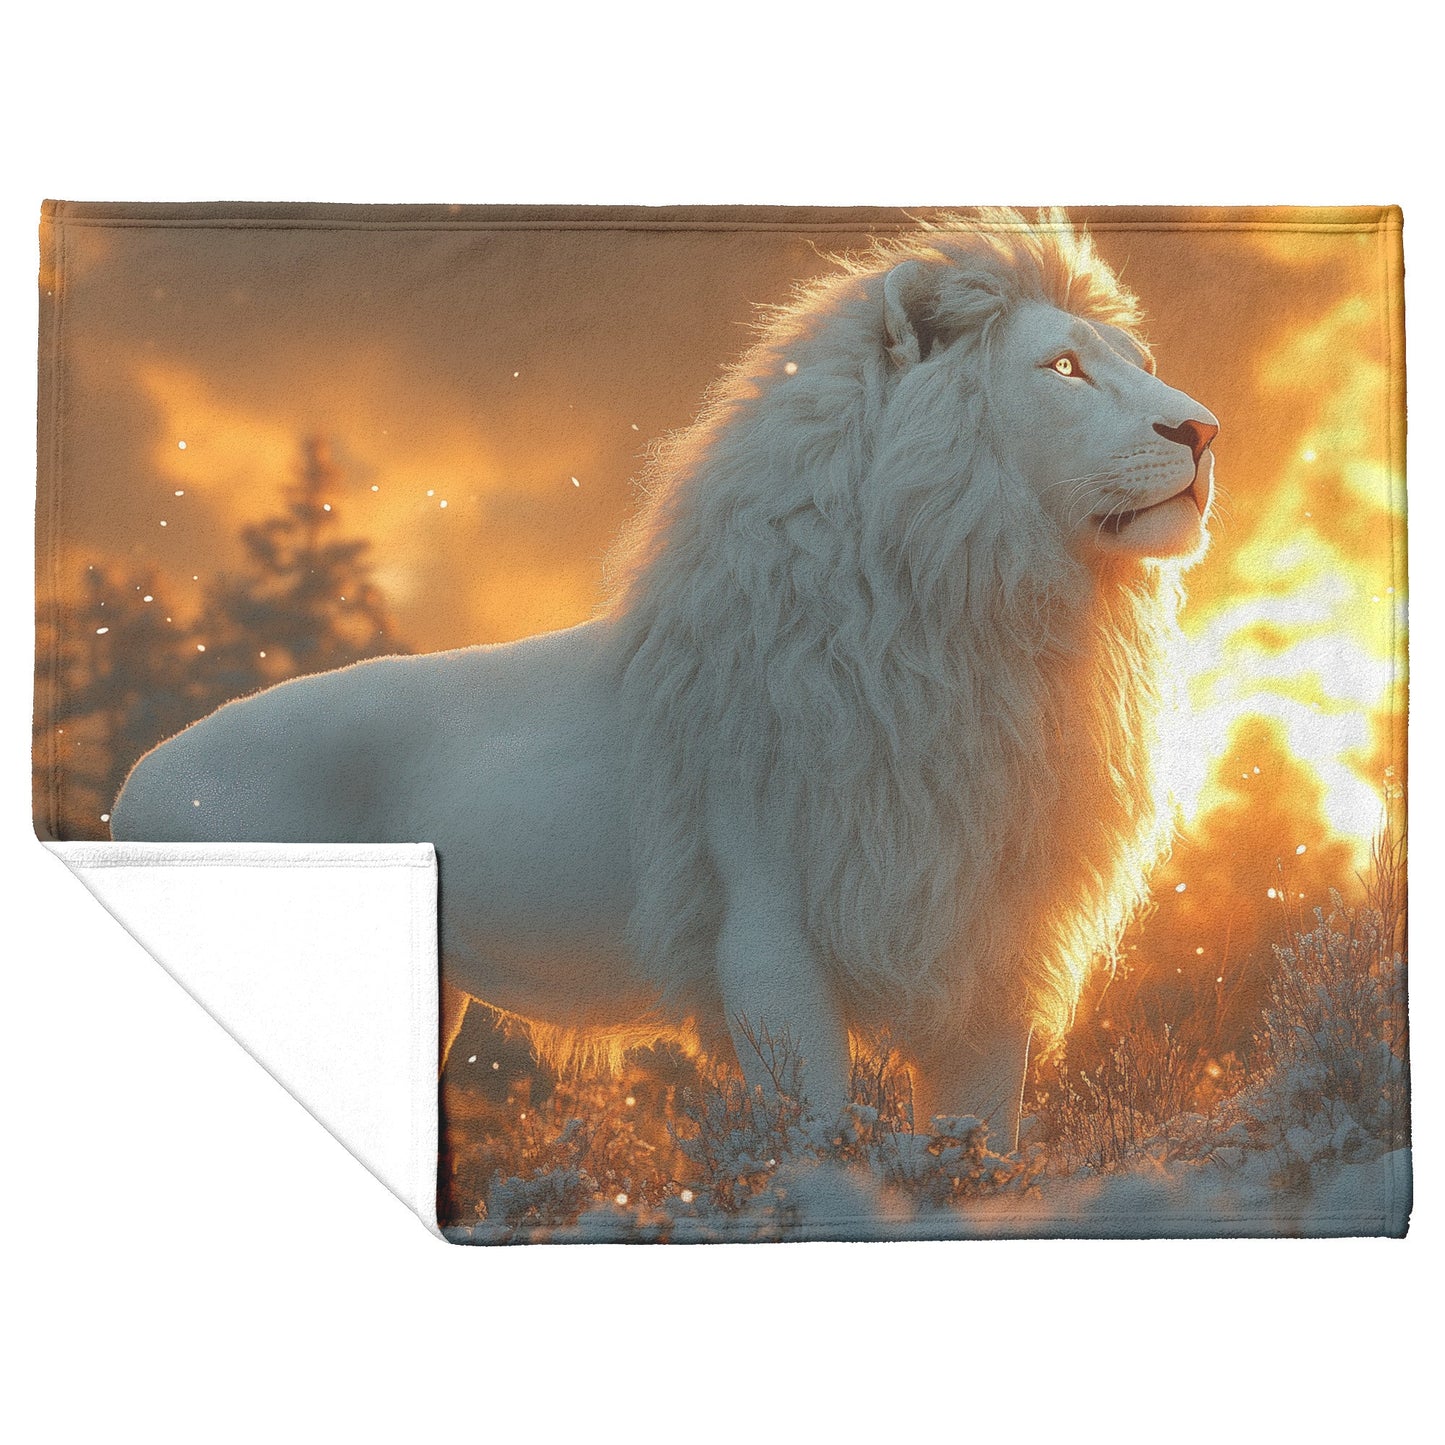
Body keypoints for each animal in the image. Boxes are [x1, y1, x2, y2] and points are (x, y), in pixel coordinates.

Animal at [112, 209, 1218, 1151]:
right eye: (1064, 367)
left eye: (1145, 368)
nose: (1204, 431)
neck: (983, 618)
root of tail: (138, 778)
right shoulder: (762, 925)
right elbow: (814, 1131)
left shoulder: (981, 936)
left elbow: (979, 1139)